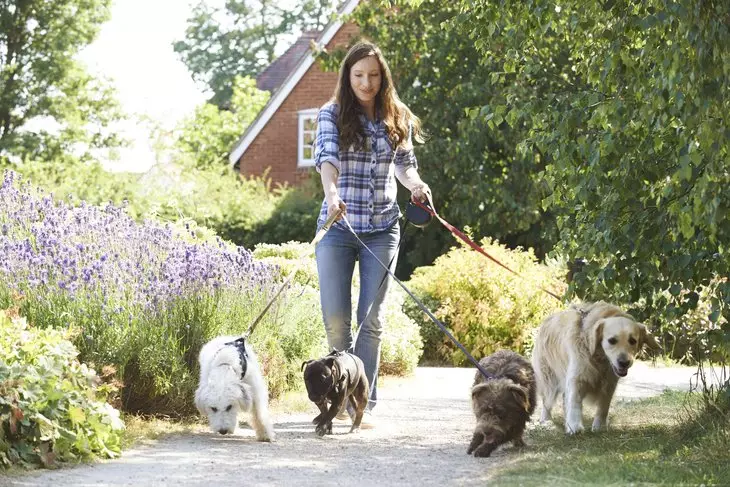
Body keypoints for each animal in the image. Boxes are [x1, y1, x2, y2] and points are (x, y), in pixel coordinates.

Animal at [528, 304, 660, 436]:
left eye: (632, 341)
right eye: (612, 340)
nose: (624, 363)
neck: (599, 357)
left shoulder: (610, 382)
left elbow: (604, 406)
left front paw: (599, 426)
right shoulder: (577, 376)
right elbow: (574, 402)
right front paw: (574, 426)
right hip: (549, 379)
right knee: (547, 402)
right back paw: (546, 421)